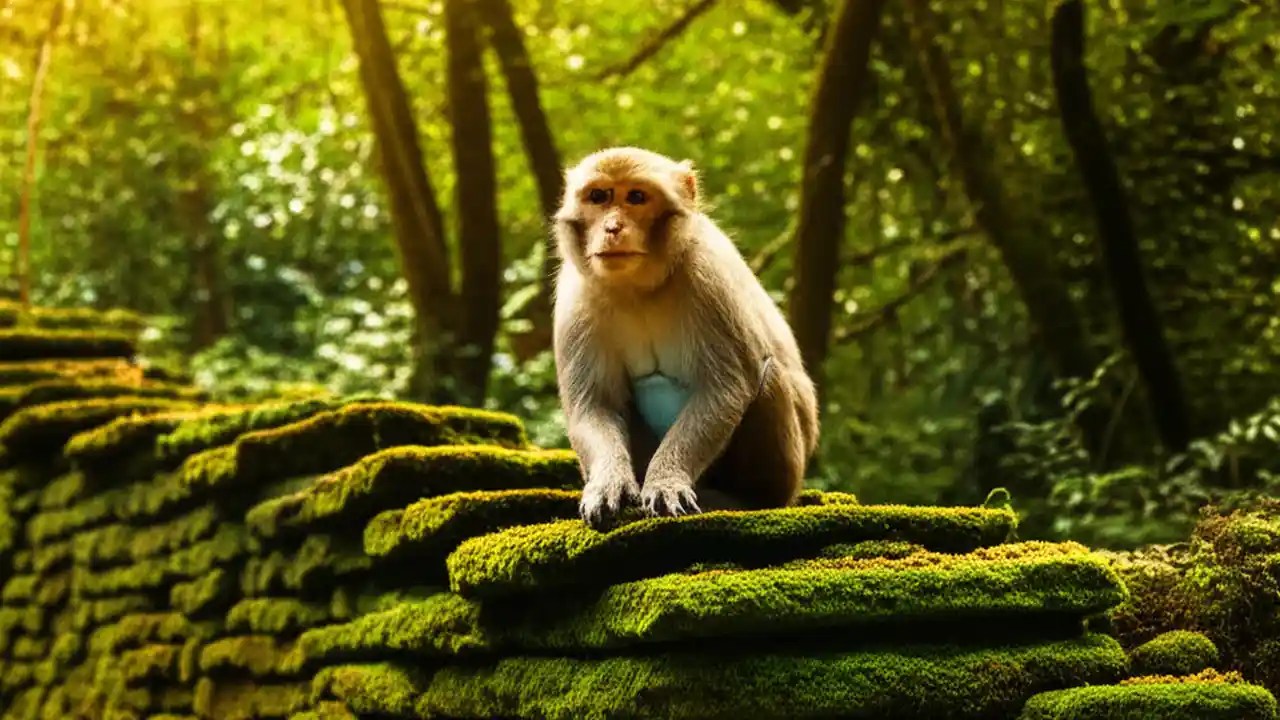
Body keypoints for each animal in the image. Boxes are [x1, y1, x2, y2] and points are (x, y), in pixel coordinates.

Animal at [550, 146, 820, 528]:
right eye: (599, 197)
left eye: (636, 197)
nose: (613, 227)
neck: (639, 290)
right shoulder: (575, 299)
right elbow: (595, 404)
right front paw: (608, 483)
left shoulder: (708, 275)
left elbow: (723, 389)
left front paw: (666, 481)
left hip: (788, 475)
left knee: (767, 375)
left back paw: (747, 499)